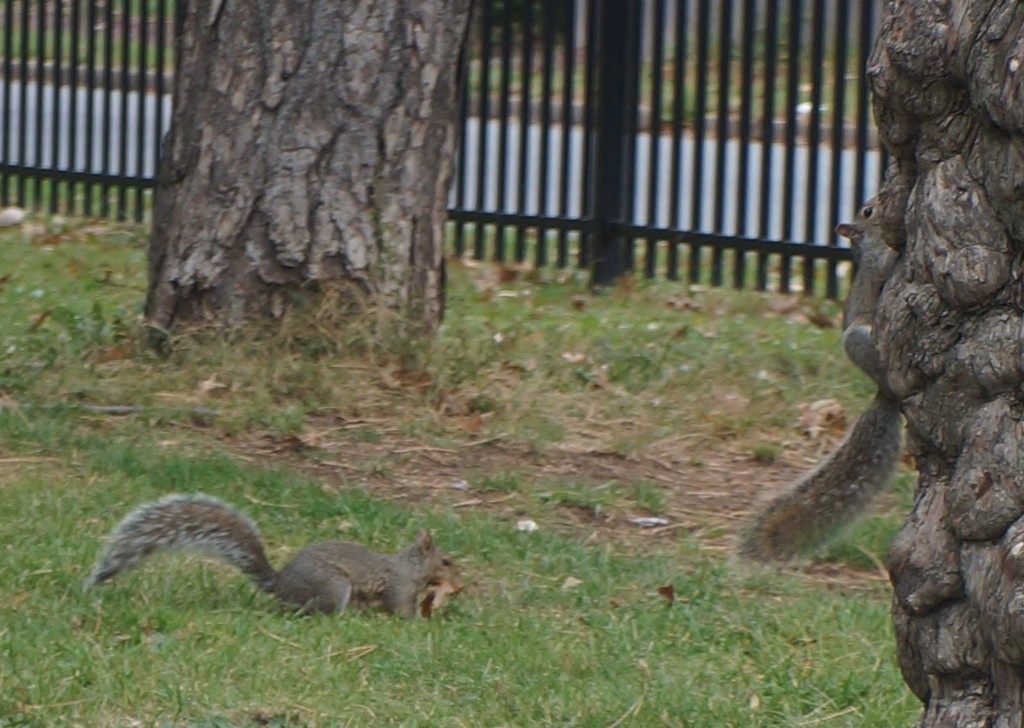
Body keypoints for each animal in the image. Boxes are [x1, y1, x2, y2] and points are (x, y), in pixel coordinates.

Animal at [84, 494, 456, 617]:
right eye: (447, 561)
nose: (460, 579)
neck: (411, 566)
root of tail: (279, 585)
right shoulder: (399, 587)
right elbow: (401, 610)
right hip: (334, 587)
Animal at [738, 199, 904, 561]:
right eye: (867, 212)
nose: (878, 202)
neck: (867, 244)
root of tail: (883, 392)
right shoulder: (876, 263)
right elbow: (888, 263)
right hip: (860, 337)